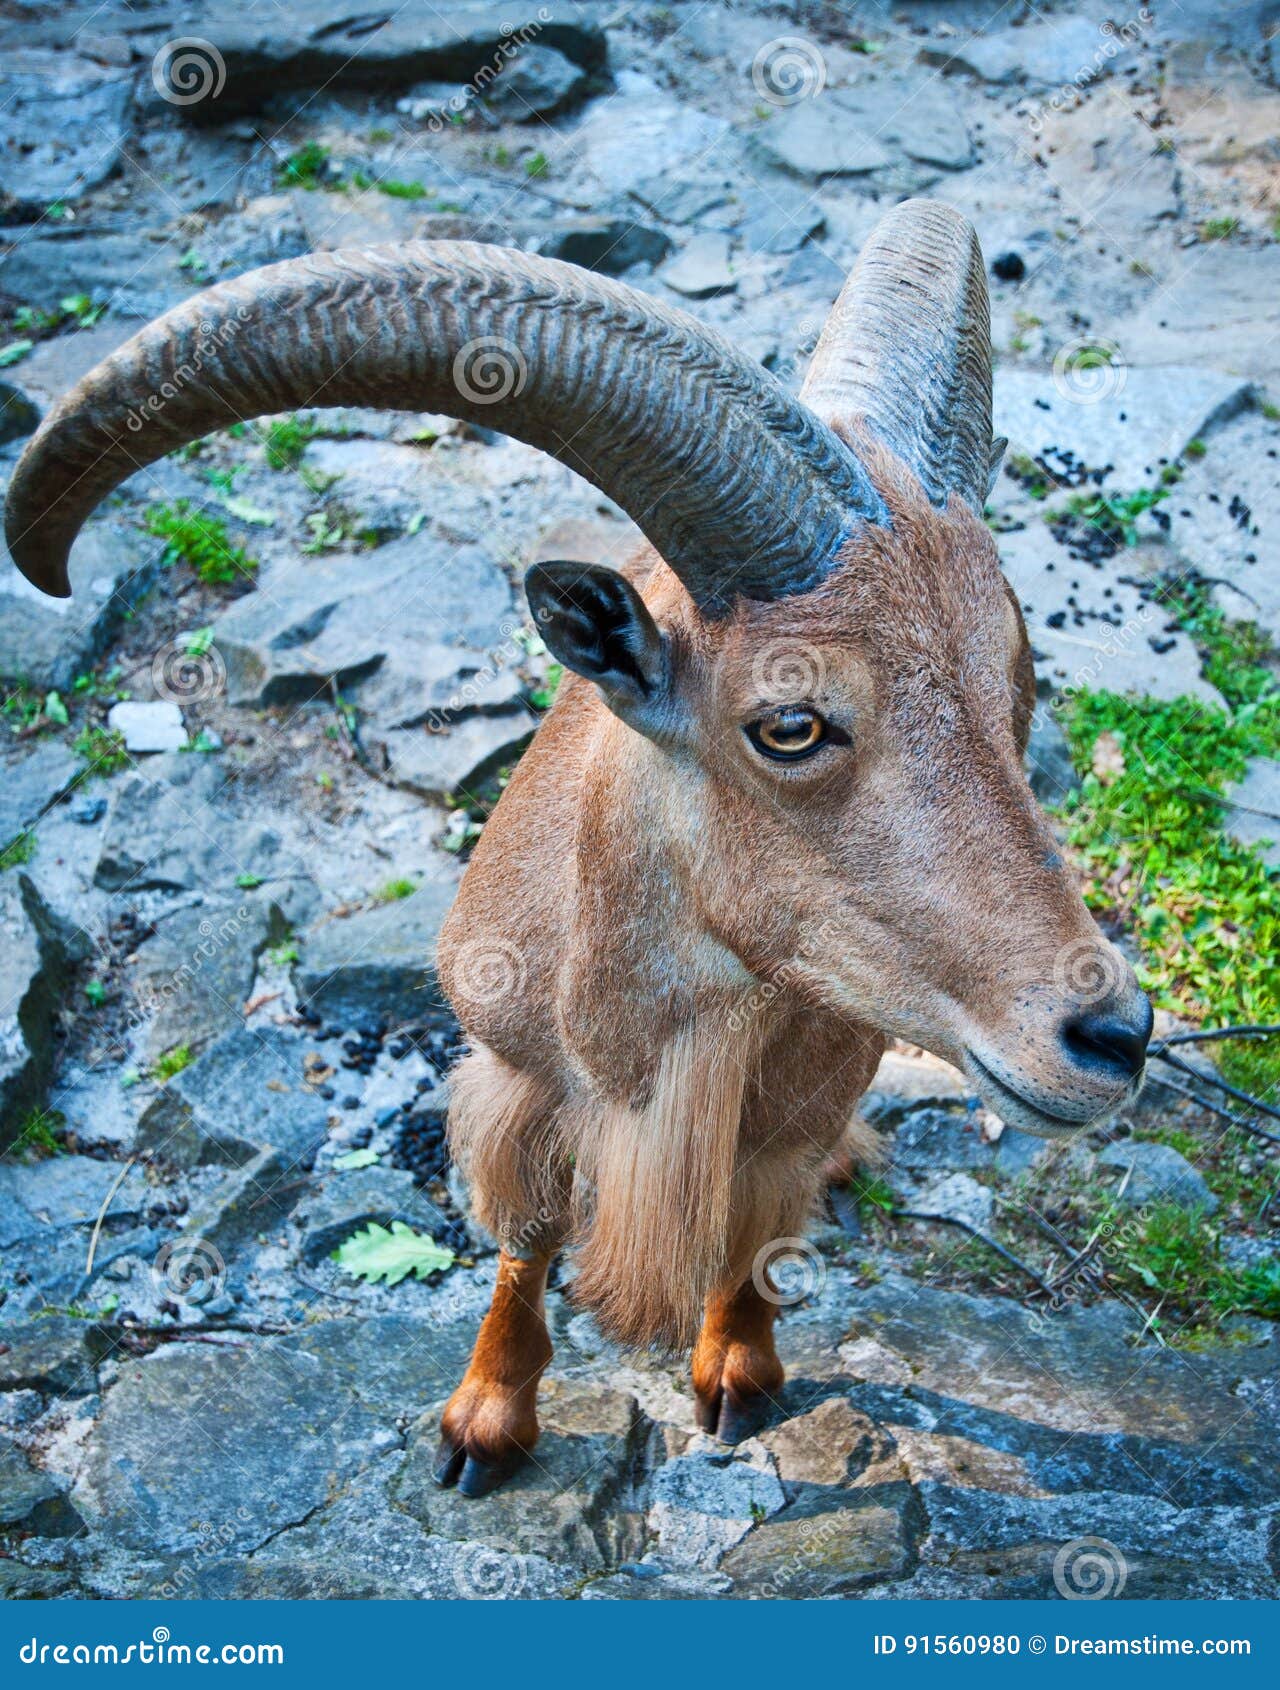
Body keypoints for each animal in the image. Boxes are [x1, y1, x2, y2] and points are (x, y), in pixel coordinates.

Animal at [5, 199, 1152, 1497]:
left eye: (1013, 690)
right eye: (790, 723)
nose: (1110, 1033)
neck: (656, 1045)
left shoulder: (793, 1109)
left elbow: (755, 1234)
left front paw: (736, 1377)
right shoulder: (513, 1076)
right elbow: (525, 1238)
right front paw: (480, 1427)